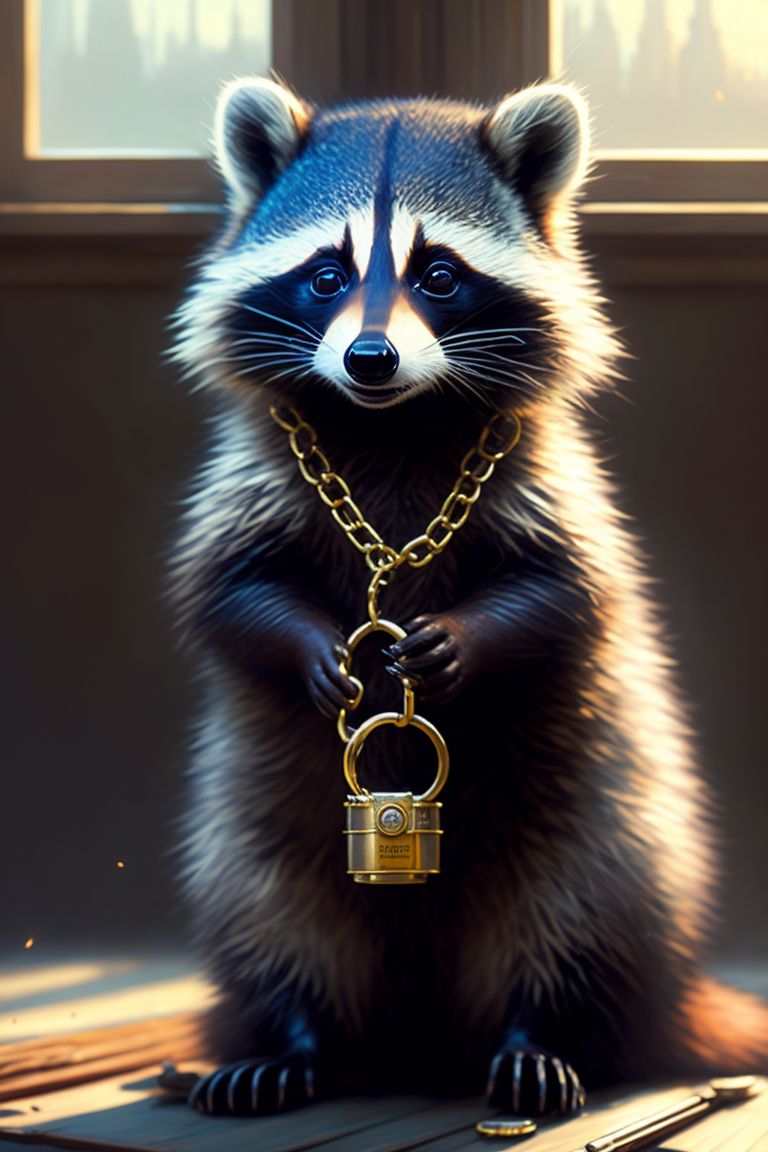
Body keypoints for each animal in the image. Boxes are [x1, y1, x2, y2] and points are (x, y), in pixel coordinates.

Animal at [170, 77, 768, 1116]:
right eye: (326, 275)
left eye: (439, 274)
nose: (369, 359)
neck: (392, 424)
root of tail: (421, 1033)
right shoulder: (252, 478)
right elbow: (230, 588)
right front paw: (308, 644)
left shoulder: (547, 480)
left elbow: (567, 590)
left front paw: (464, 638)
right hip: (260, 816)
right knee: (275, 915)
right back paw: (296, 1039)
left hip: (597, 817)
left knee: (575, 916)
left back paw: (540, 1034)